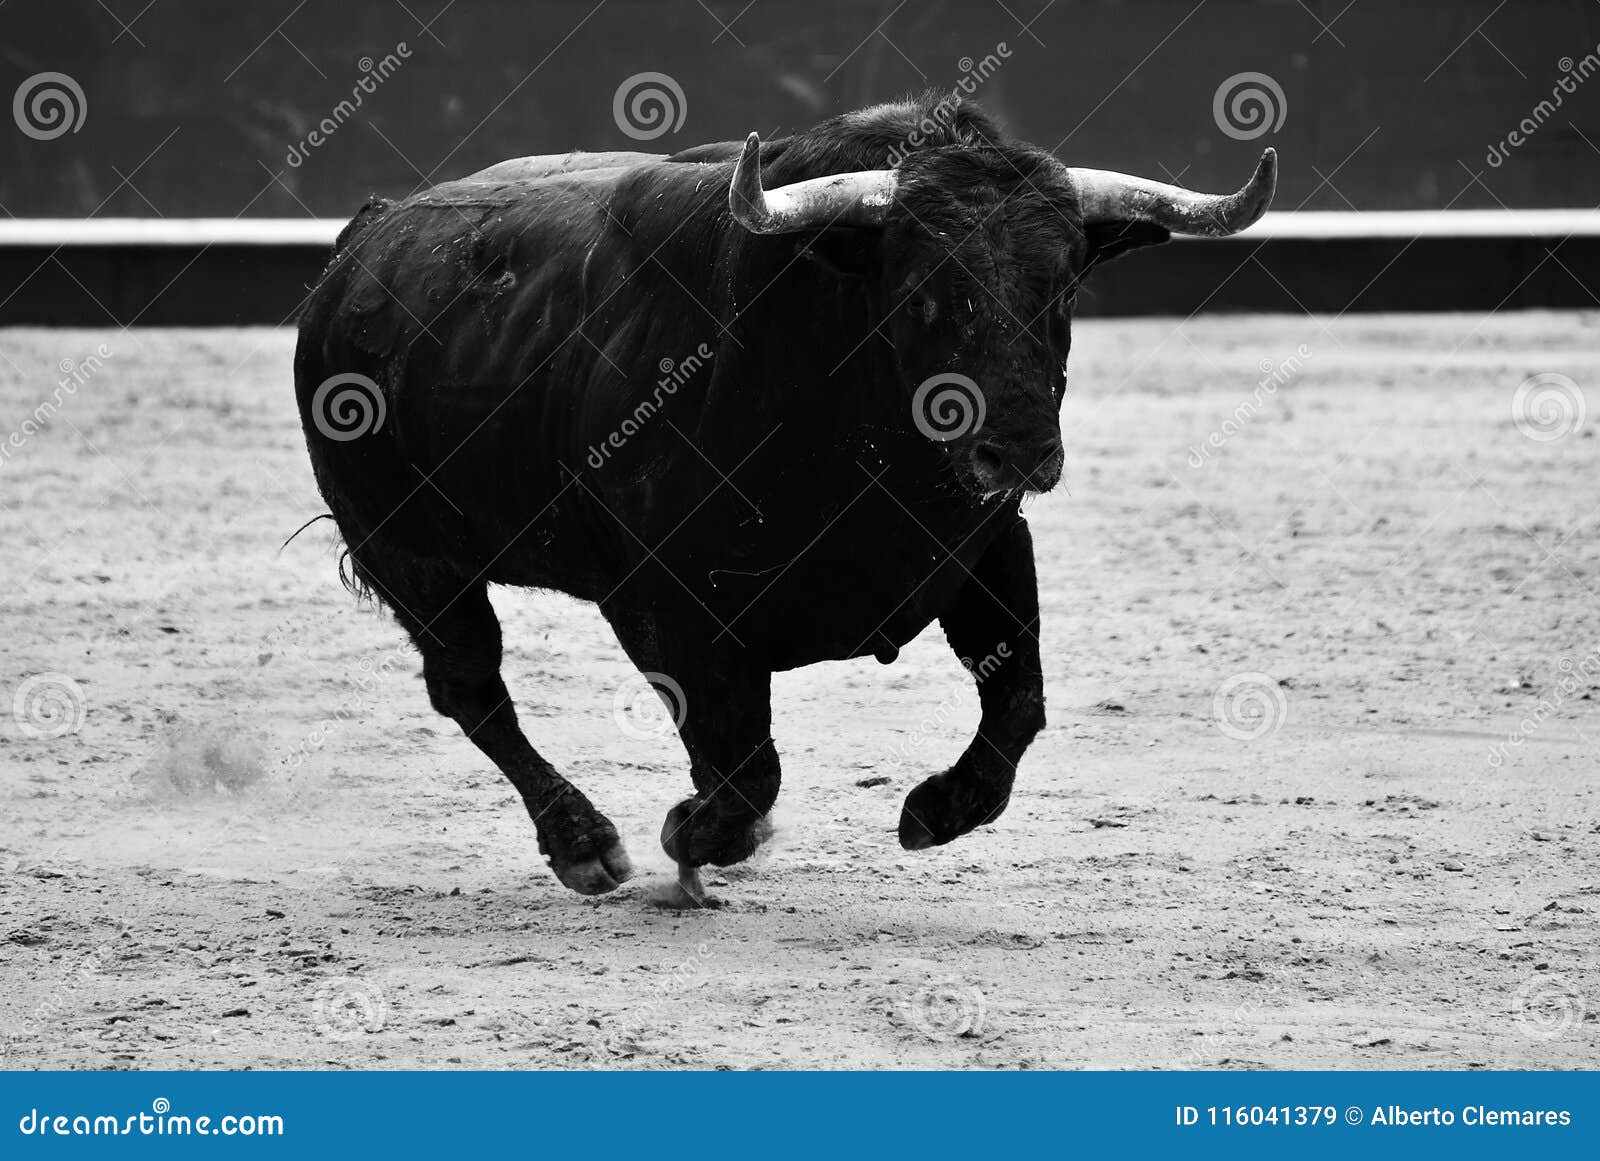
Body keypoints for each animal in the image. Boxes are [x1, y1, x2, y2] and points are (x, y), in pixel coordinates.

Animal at [293, 97, 1275, 906]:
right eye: (921, 291)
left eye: (1064, 284)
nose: (1022, 449)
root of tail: (358, 248)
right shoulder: (665, 603)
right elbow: (745, 767)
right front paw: (689, 833)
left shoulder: (988, 546)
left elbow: (1016, 702)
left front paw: (931, 810)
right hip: (409, 553)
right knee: (471, 686)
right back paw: (585, 845)